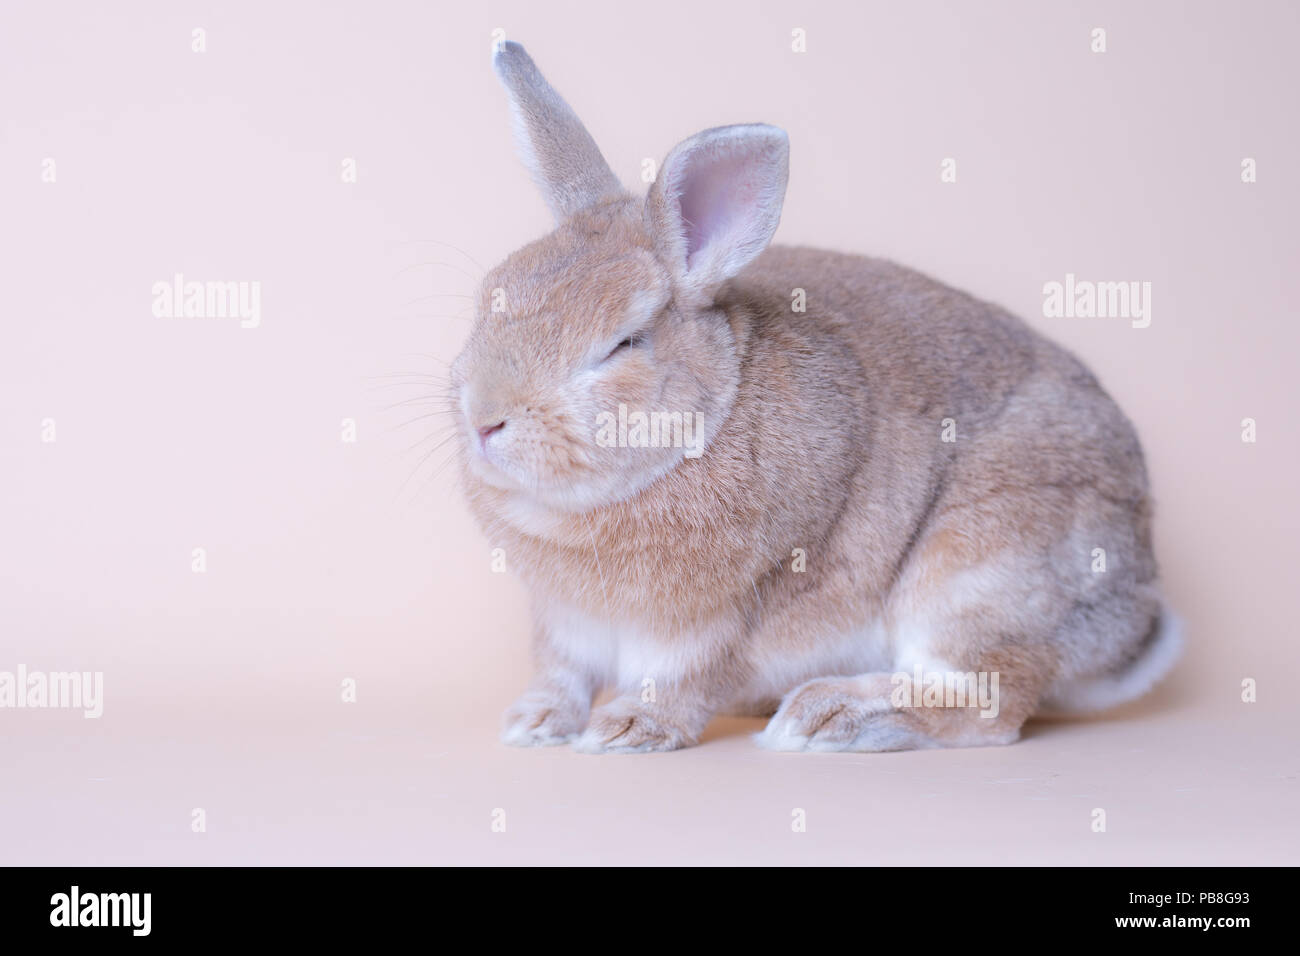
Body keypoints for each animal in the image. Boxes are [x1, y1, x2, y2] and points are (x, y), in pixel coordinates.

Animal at [449, 41, 1182, 753]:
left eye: (624, 343)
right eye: (491, 294)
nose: (485, 420)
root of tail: (1127, 625)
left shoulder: (720, 620)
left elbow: (685, 680)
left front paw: (628, 729)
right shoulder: (561, 623)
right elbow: (561, 672)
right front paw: (534, 724)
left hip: (980, 572)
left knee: (985, 707)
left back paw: (828, 718)